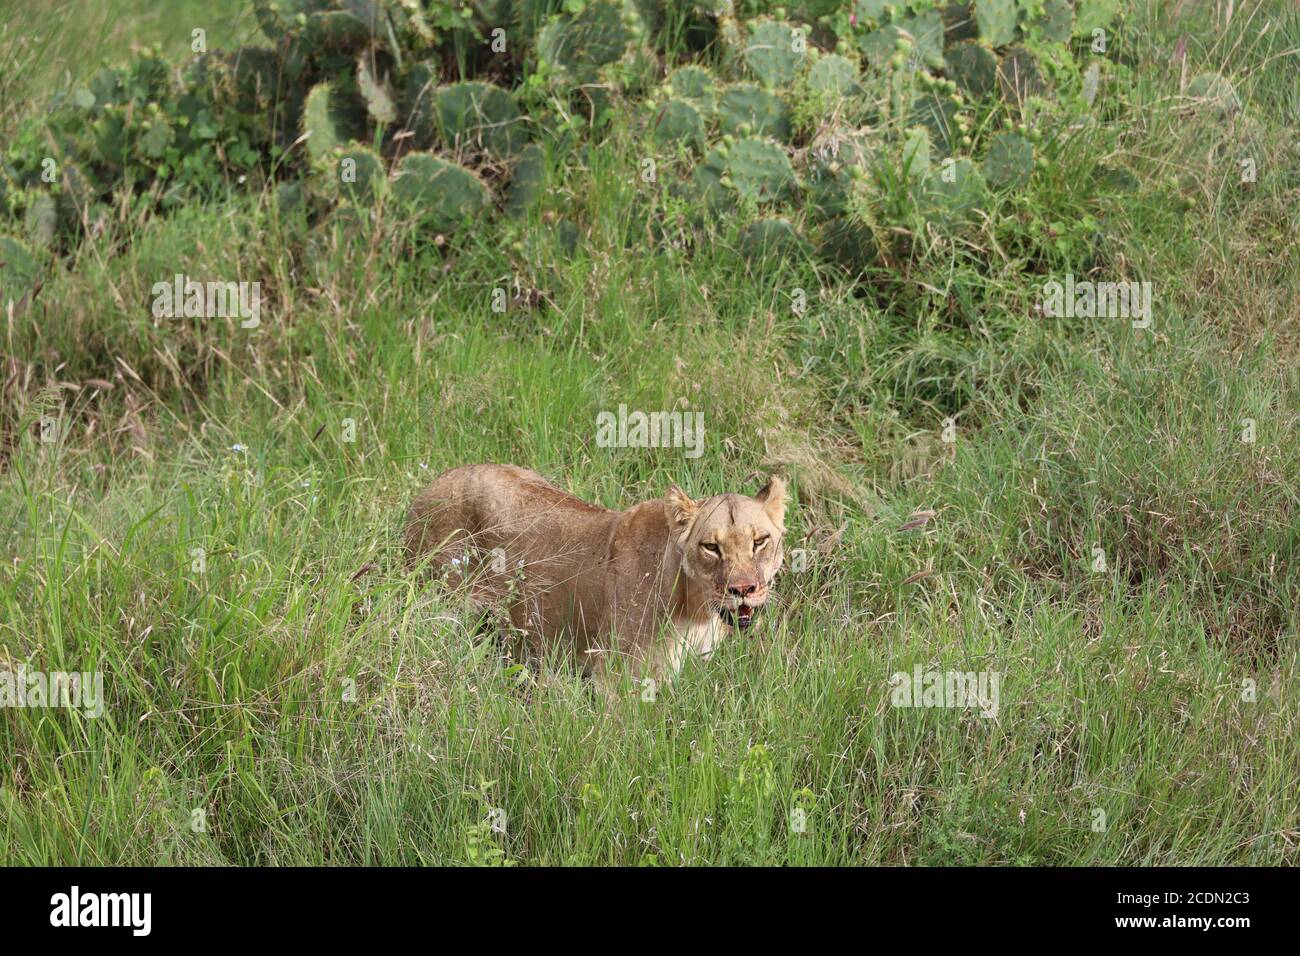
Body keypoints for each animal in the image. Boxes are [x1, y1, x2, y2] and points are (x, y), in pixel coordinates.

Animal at [404, 464, 788, 694]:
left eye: (759, 541)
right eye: (711, 547)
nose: (743, 589)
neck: (692, 607)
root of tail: (426, 489)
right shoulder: (614, 678)